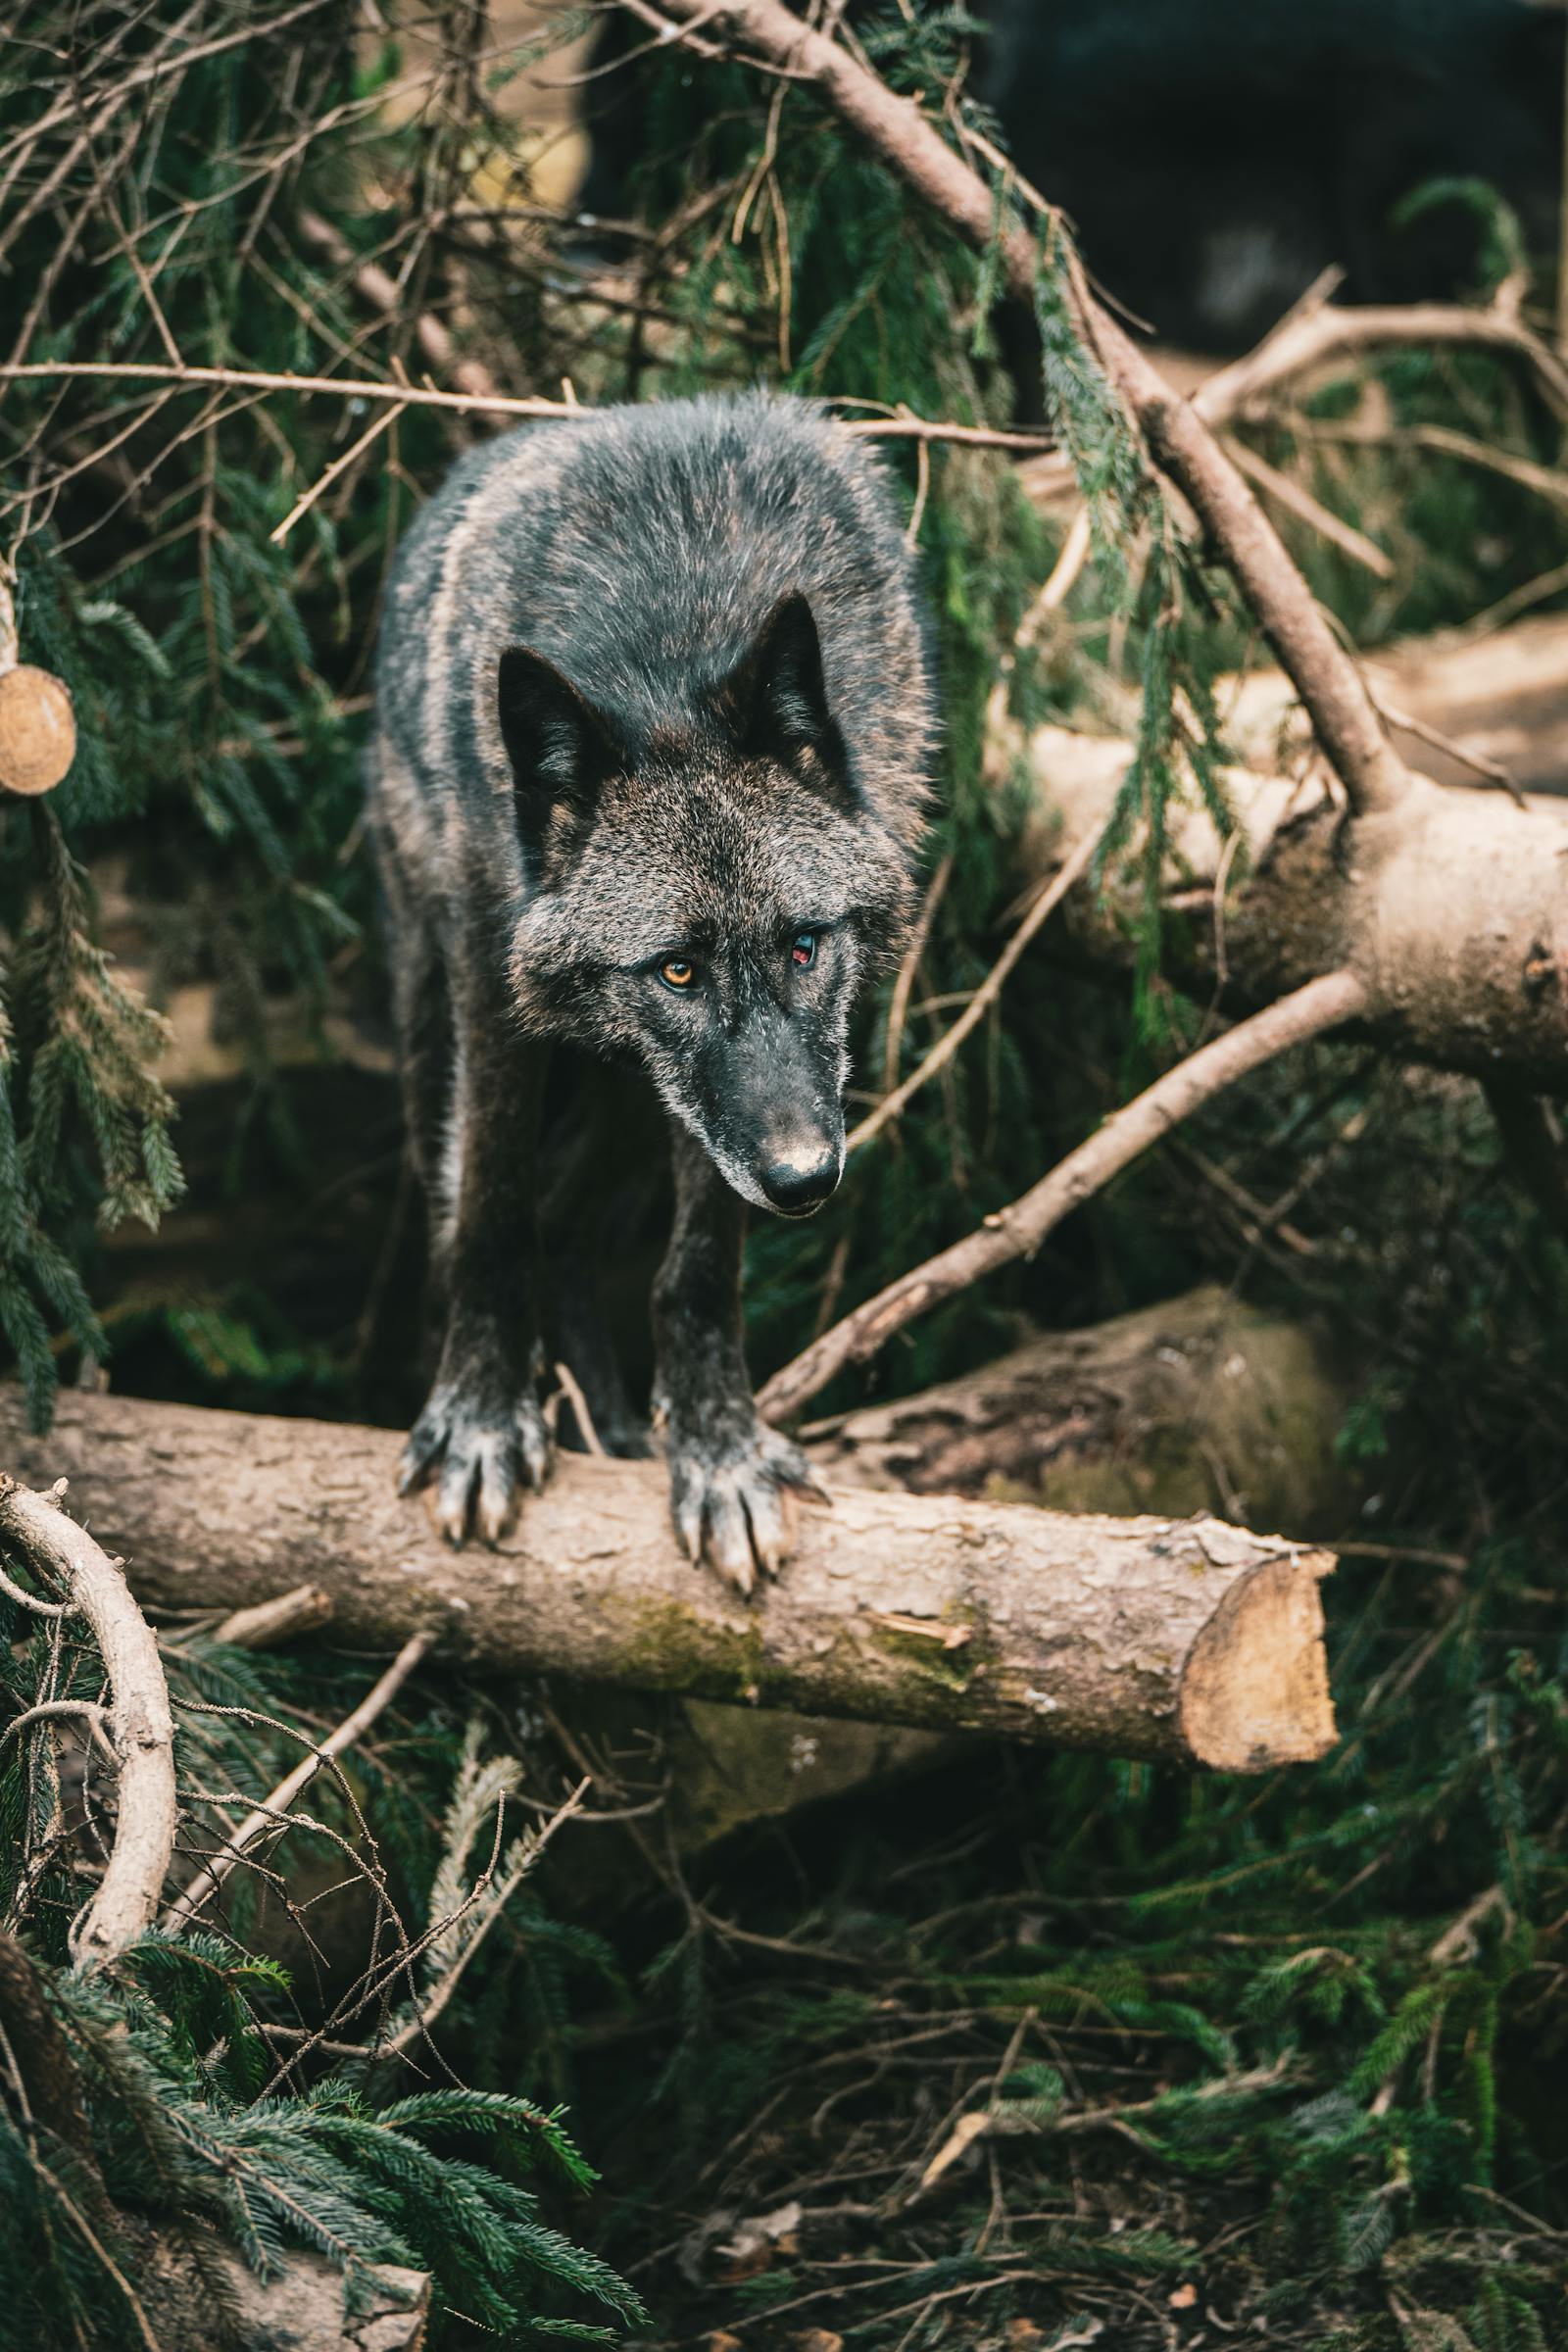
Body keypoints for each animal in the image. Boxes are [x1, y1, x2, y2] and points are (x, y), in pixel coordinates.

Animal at [368, 391, 936, 1592]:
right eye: (676, 968)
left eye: (805, 944)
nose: (808, 1181)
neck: (667, 660)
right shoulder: (491, 978)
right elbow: (492, 1211)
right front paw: (481, 1422)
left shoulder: (755, 1122)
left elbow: (699, 1265)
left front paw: (718, 1454)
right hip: (437, 1015)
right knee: (468, 1209)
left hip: (650, 1109)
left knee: (579, 1229)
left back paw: (617, 1433)